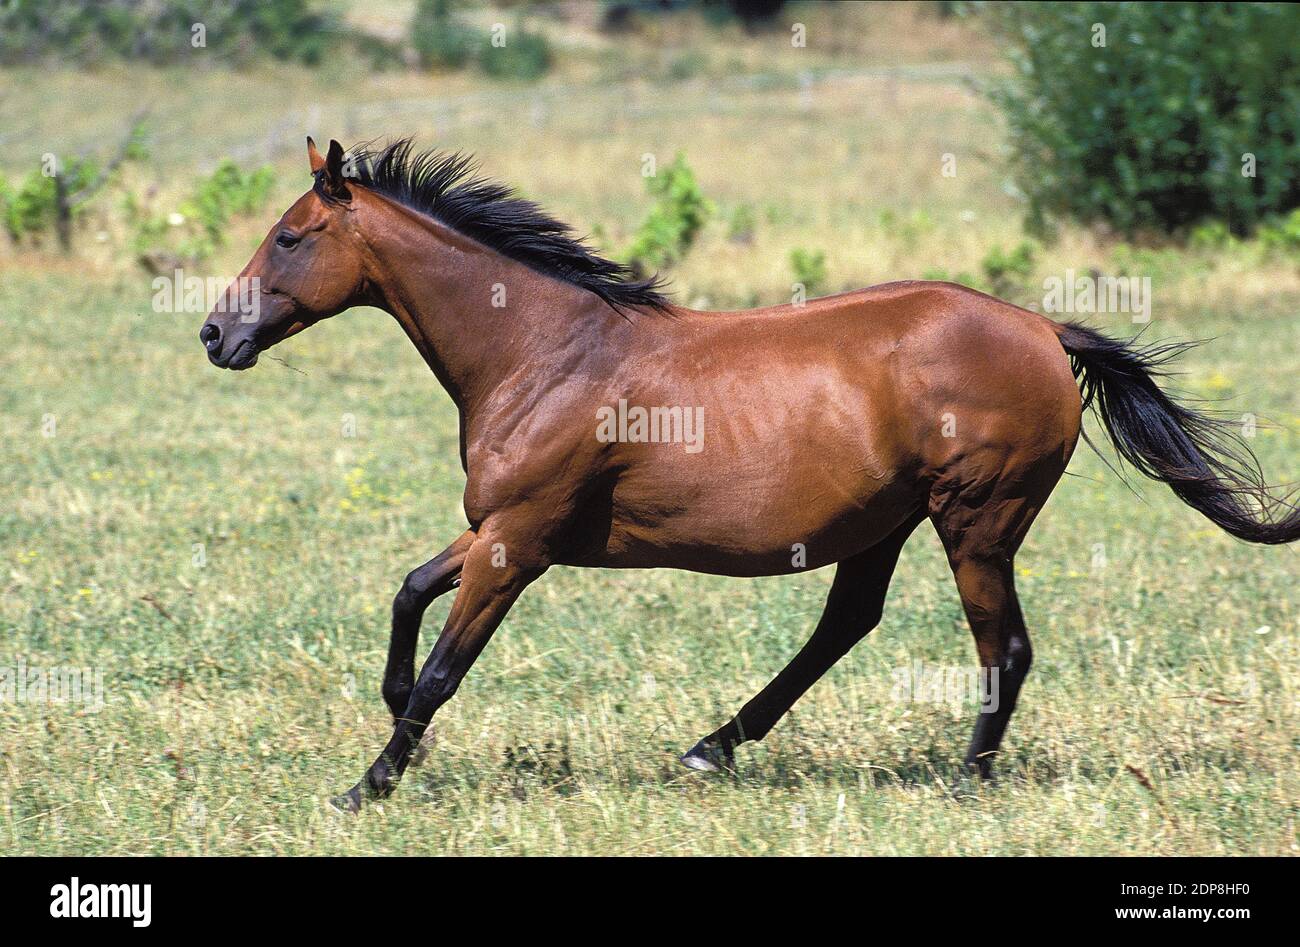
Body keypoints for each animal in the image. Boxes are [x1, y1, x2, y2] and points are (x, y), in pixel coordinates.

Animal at [200, 138, 1298, 812]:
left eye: (290, 236)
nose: (216, 333)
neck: (544, 350)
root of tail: (1043, 329)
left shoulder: (519, 541)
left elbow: (444, 662)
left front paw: (368, 783)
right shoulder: (501, 526)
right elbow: (408, 591)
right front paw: (394, 724)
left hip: (976, 521)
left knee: (1004, 648)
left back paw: (966, 776)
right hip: (886, 523)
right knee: (845, 624)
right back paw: (714, 743)